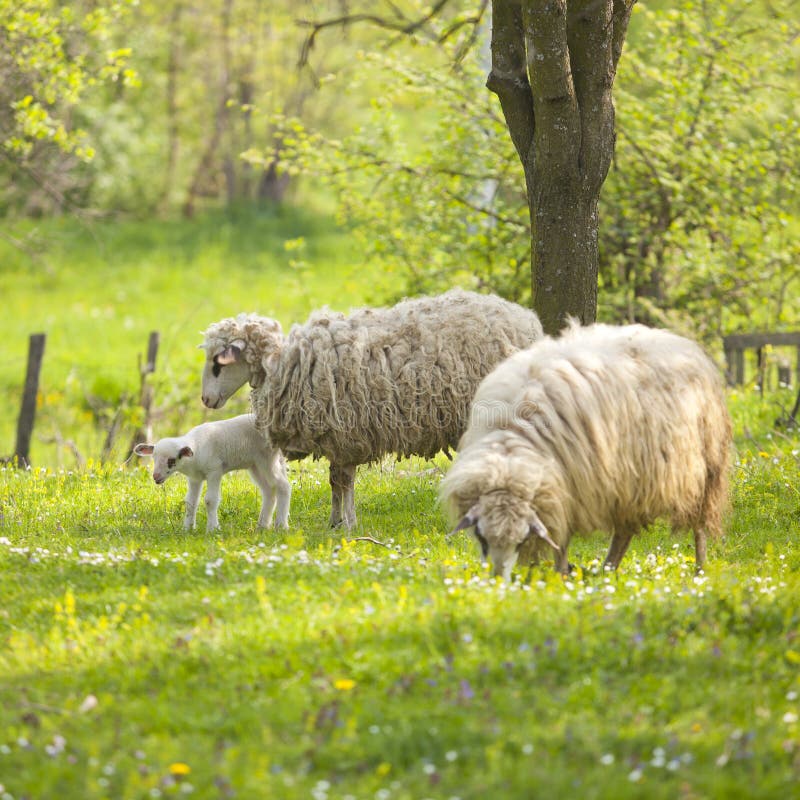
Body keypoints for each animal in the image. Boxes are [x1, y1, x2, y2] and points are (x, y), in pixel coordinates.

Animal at [134, 413, 290, 532]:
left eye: (171, 460)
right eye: (153, 458)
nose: (156, 477)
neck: (196, 450)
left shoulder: (214, 470)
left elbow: (210, 500)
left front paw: (212, 529)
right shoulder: (195, 478)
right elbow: (190, 502)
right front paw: (187, 529)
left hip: (267, 459)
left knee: (283, 486)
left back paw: (281, 526)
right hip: (255, 465)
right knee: (269, 491)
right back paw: (262, 526)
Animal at [199, 289, 544, 528]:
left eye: (218, 362)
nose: (206, 400)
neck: (284, 365)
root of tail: (527, 320)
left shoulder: (347, 434)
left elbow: (345, 482)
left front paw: (349, 523)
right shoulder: (336, 439)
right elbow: (334, 481)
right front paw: (335, 521)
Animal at [440, 321, 731, 580]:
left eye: (521, 540)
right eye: (481, 536)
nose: (498, 580)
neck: (511, 447)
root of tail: (682, 343)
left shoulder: (573, 489)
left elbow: (561, 541)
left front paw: (559, 575)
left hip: (705, 468)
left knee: (699, 526)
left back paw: (699, 570)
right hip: (629, 481)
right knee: (624, 533)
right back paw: (608, 571)